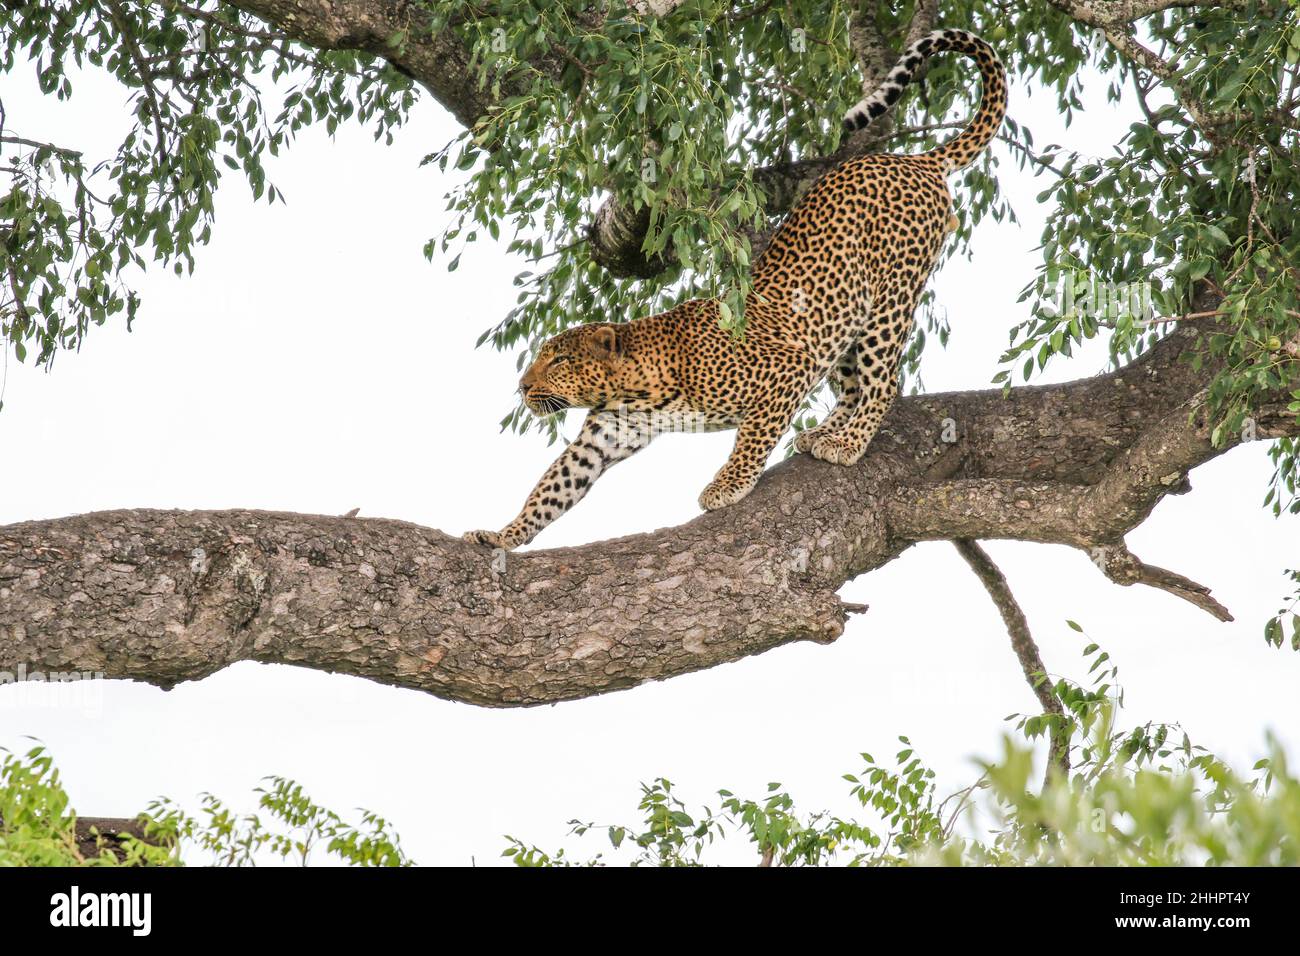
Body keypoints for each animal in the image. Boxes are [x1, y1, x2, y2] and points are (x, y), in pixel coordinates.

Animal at [465, 29, 1007, 551]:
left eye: (559, 360)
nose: (523, 387)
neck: (635, 386)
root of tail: (913, 160)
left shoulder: (785, 370)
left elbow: (751, 437)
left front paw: (728, 485)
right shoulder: (603, 436)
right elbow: (550, 489)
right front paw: (500, 535)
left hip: (889, 299)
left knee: (884, 382)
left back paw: (848, 443)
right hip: (839, 319)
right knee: (853, 383)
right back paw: (826, 432)